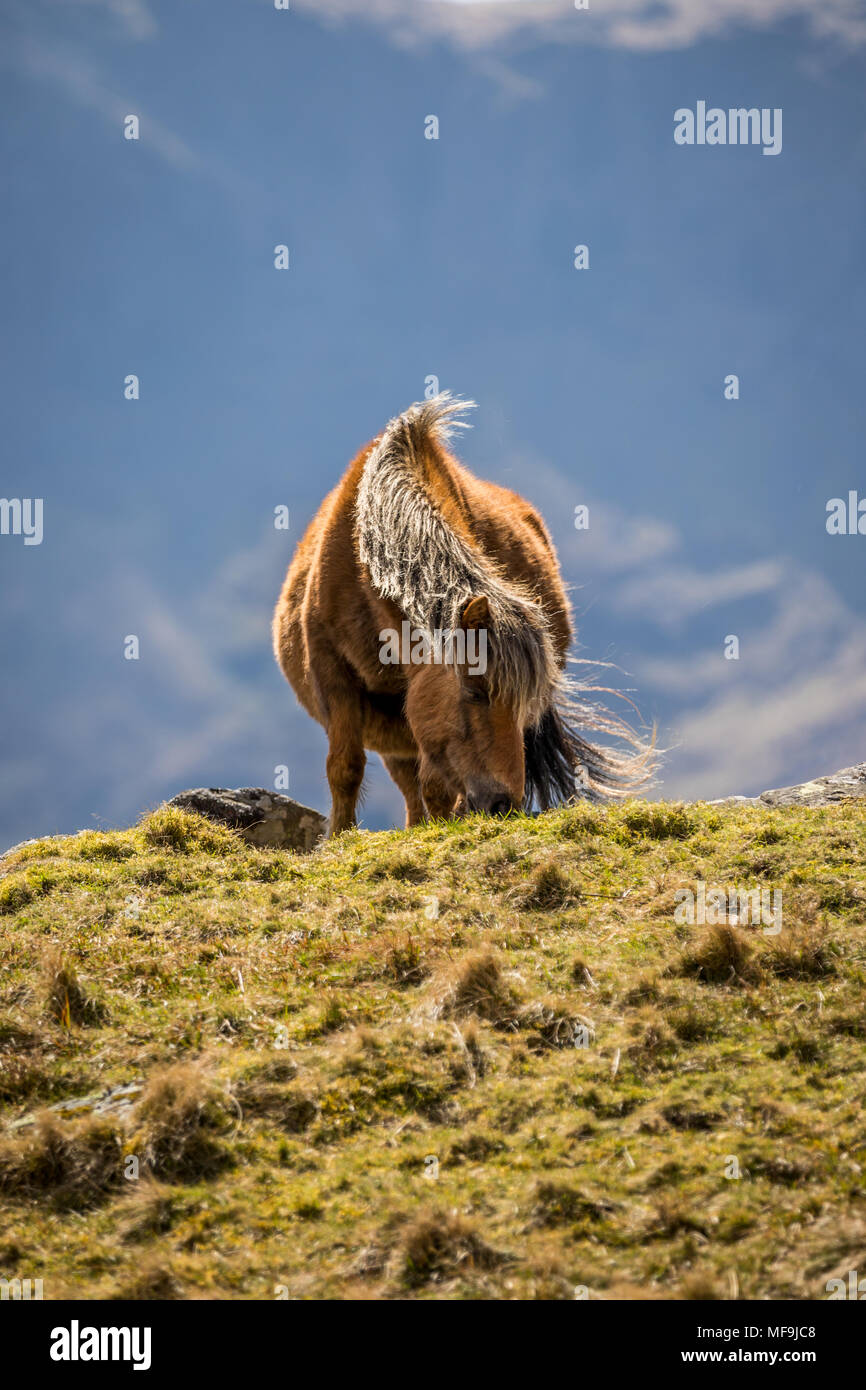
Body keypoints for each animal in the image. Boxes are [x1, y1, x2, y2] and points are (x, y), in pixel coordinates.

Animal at [273, 394, 655, 835]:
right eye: (475, 690)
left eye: (523, 703)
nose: (504, 804)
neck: (364, 559)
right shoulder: (332, 674)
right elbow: (345, 768)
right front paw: (338, 836)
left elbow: (435, 786)